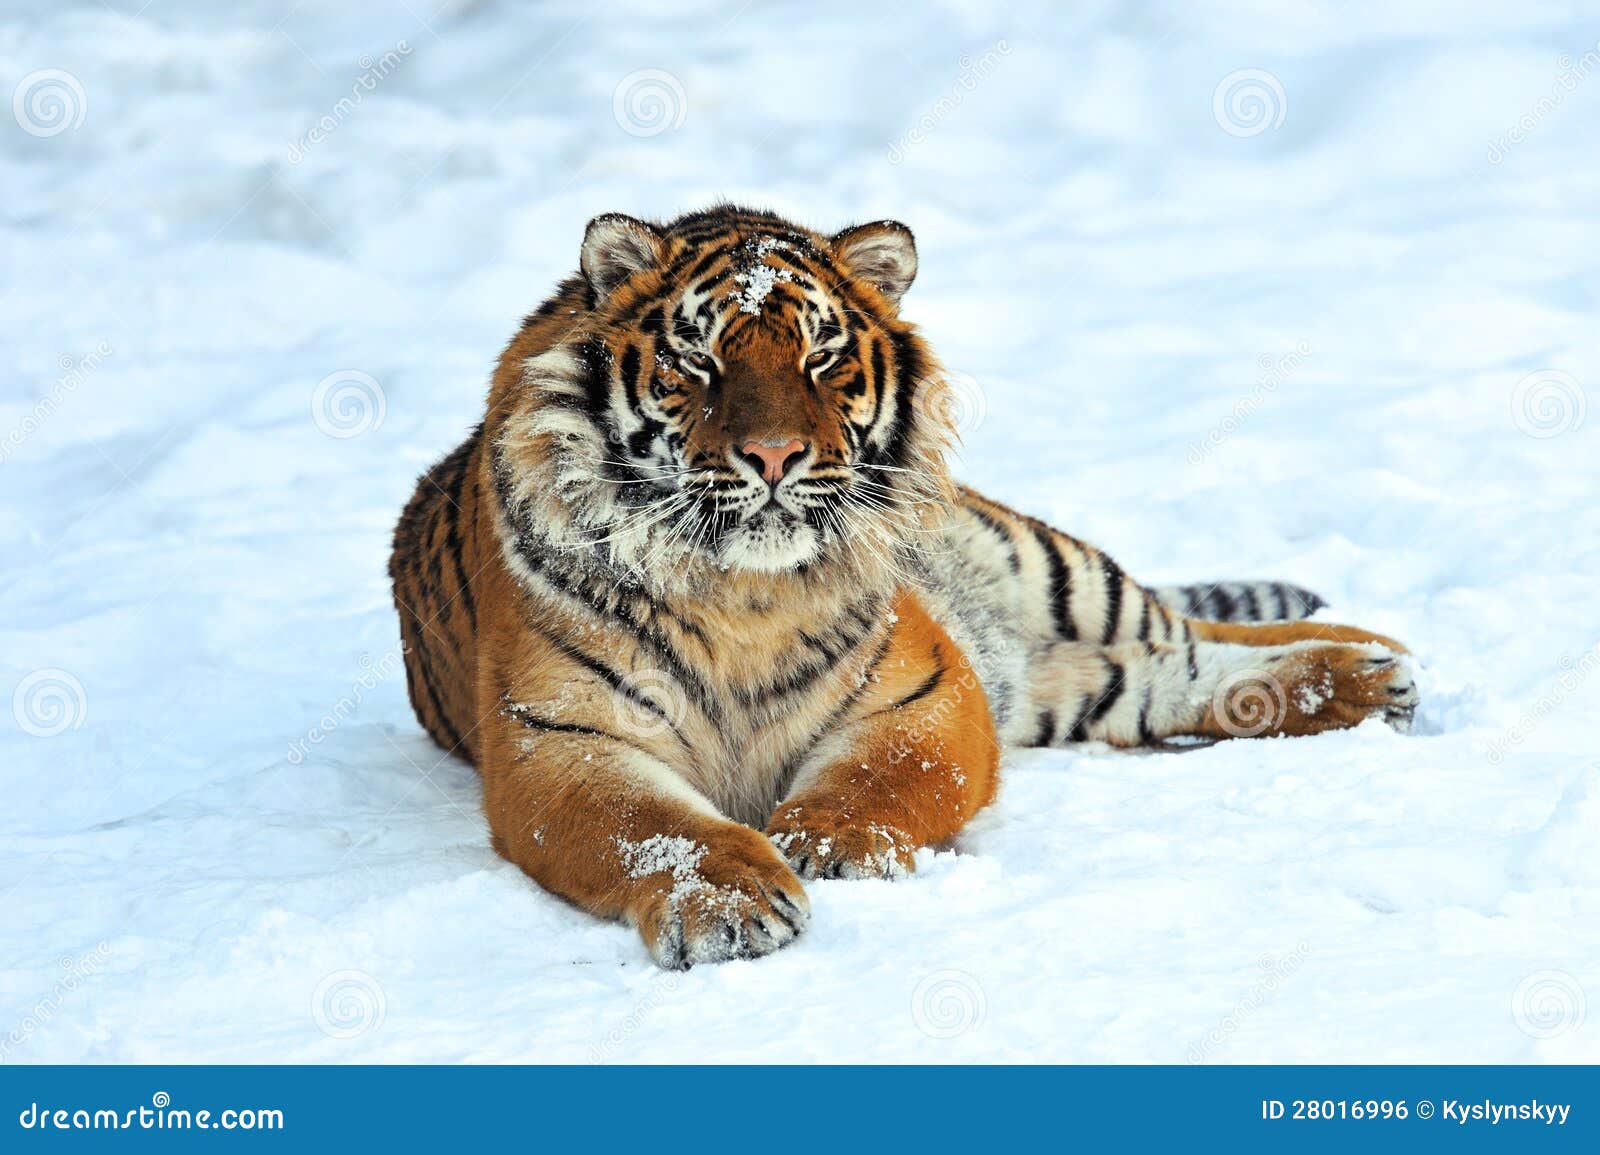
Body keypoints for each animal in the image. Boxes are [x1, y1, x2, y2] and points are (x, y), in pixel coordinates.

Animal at [389, 204, 1418, 969]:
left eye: (820, 357)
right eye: (699, 361)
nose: (773, 455)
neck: (741, 595)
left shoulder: (929, 684)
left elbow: (887, 772)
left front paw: (828, 841)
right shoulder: (559, 740)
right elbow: (652, 824)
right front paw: (733, 897)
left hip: (1051, 569)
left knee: (1187, 627)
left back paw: (1382, 657)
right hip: (1071, 683)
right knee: (1172, 676)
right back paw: (1364, 681)